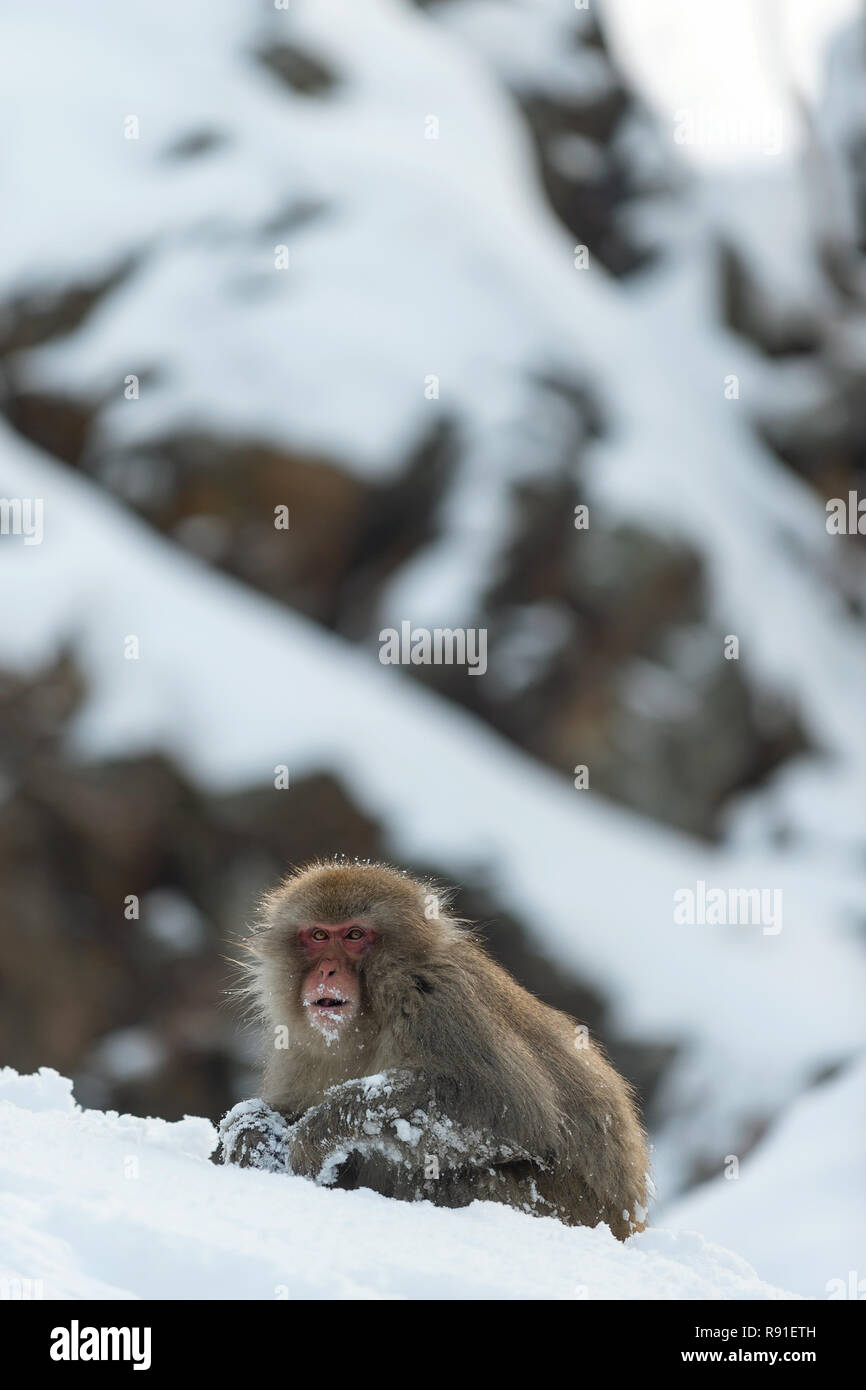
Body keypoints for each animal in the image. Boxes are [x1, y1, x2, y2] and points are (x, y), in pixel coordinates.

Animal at [217, 860, 650, 1239]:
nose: (326, 970)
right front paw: (252, 1129)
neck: (370, 1020)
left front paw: (319, 1130)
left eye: (355, 935)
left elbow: (512, 1108)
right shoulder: (296, 1041)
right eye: (319, 936)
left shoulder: (436, 999)